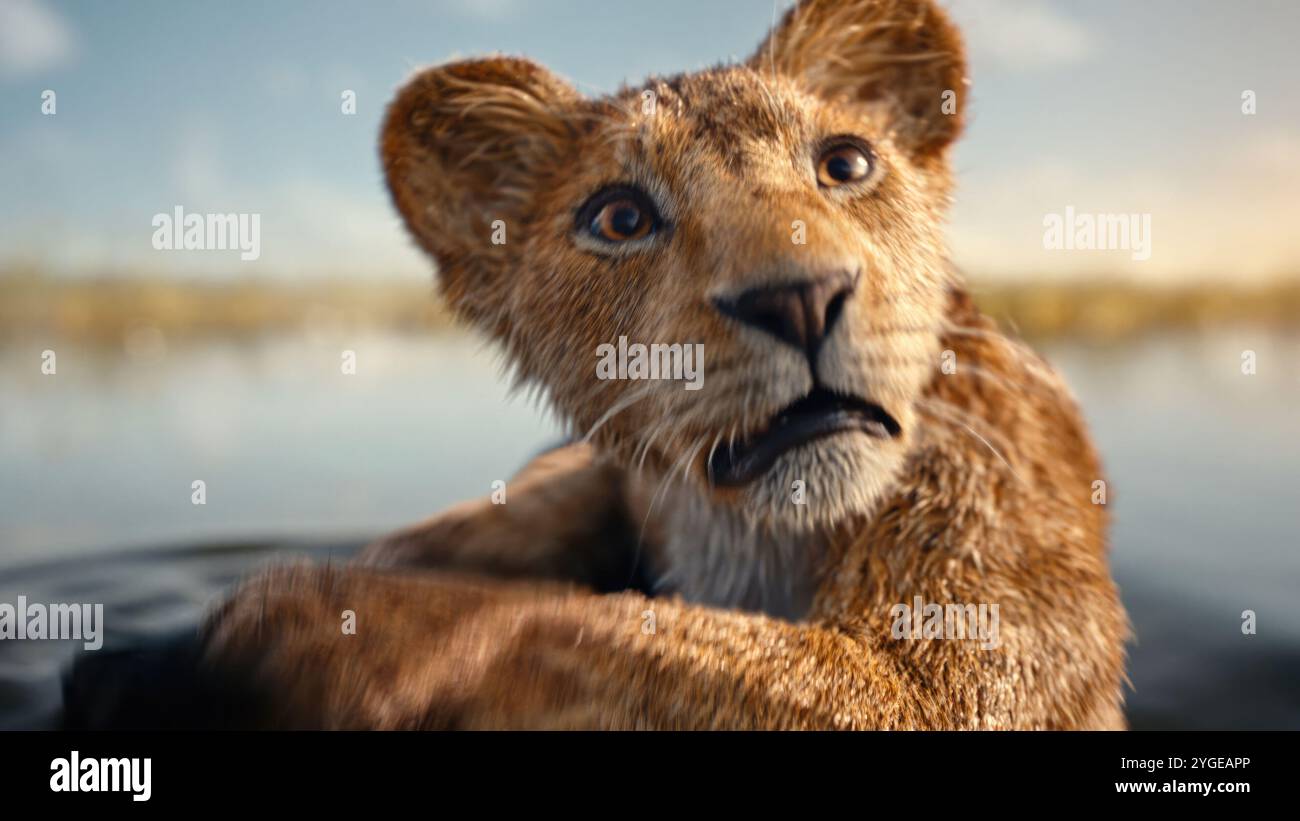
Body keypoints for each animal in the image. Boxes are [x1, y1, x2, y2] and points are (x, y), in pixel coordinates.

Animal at [66, 0, 1128, 730]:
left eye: (847, 164)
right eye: (620, 217)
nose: (800, 297)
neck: (749, 533)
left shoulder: (958, 667)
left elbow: (584, 627)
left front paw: (307, 625)